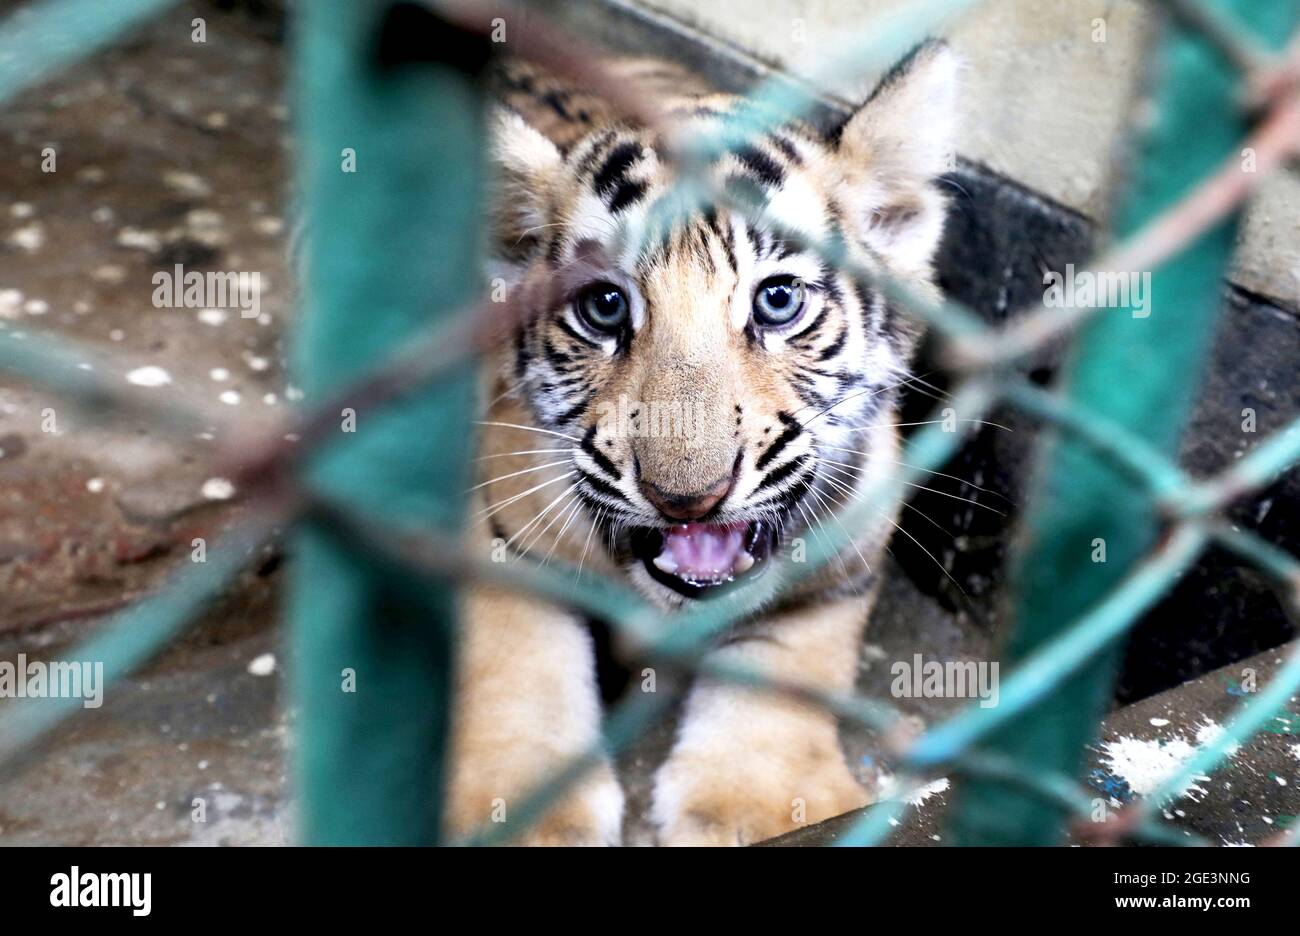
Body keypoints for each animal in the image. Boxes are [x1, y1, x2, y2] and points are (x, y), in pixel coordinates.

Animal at [445, 42, 960, 846]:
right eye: (604, 307)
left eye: (778, 300)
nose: (686, 499)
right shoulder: (499, 523)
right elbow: (519, 659)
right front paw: (524, 816)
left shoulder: (844, 559)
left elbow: (791, 662)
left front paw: (758, 802)